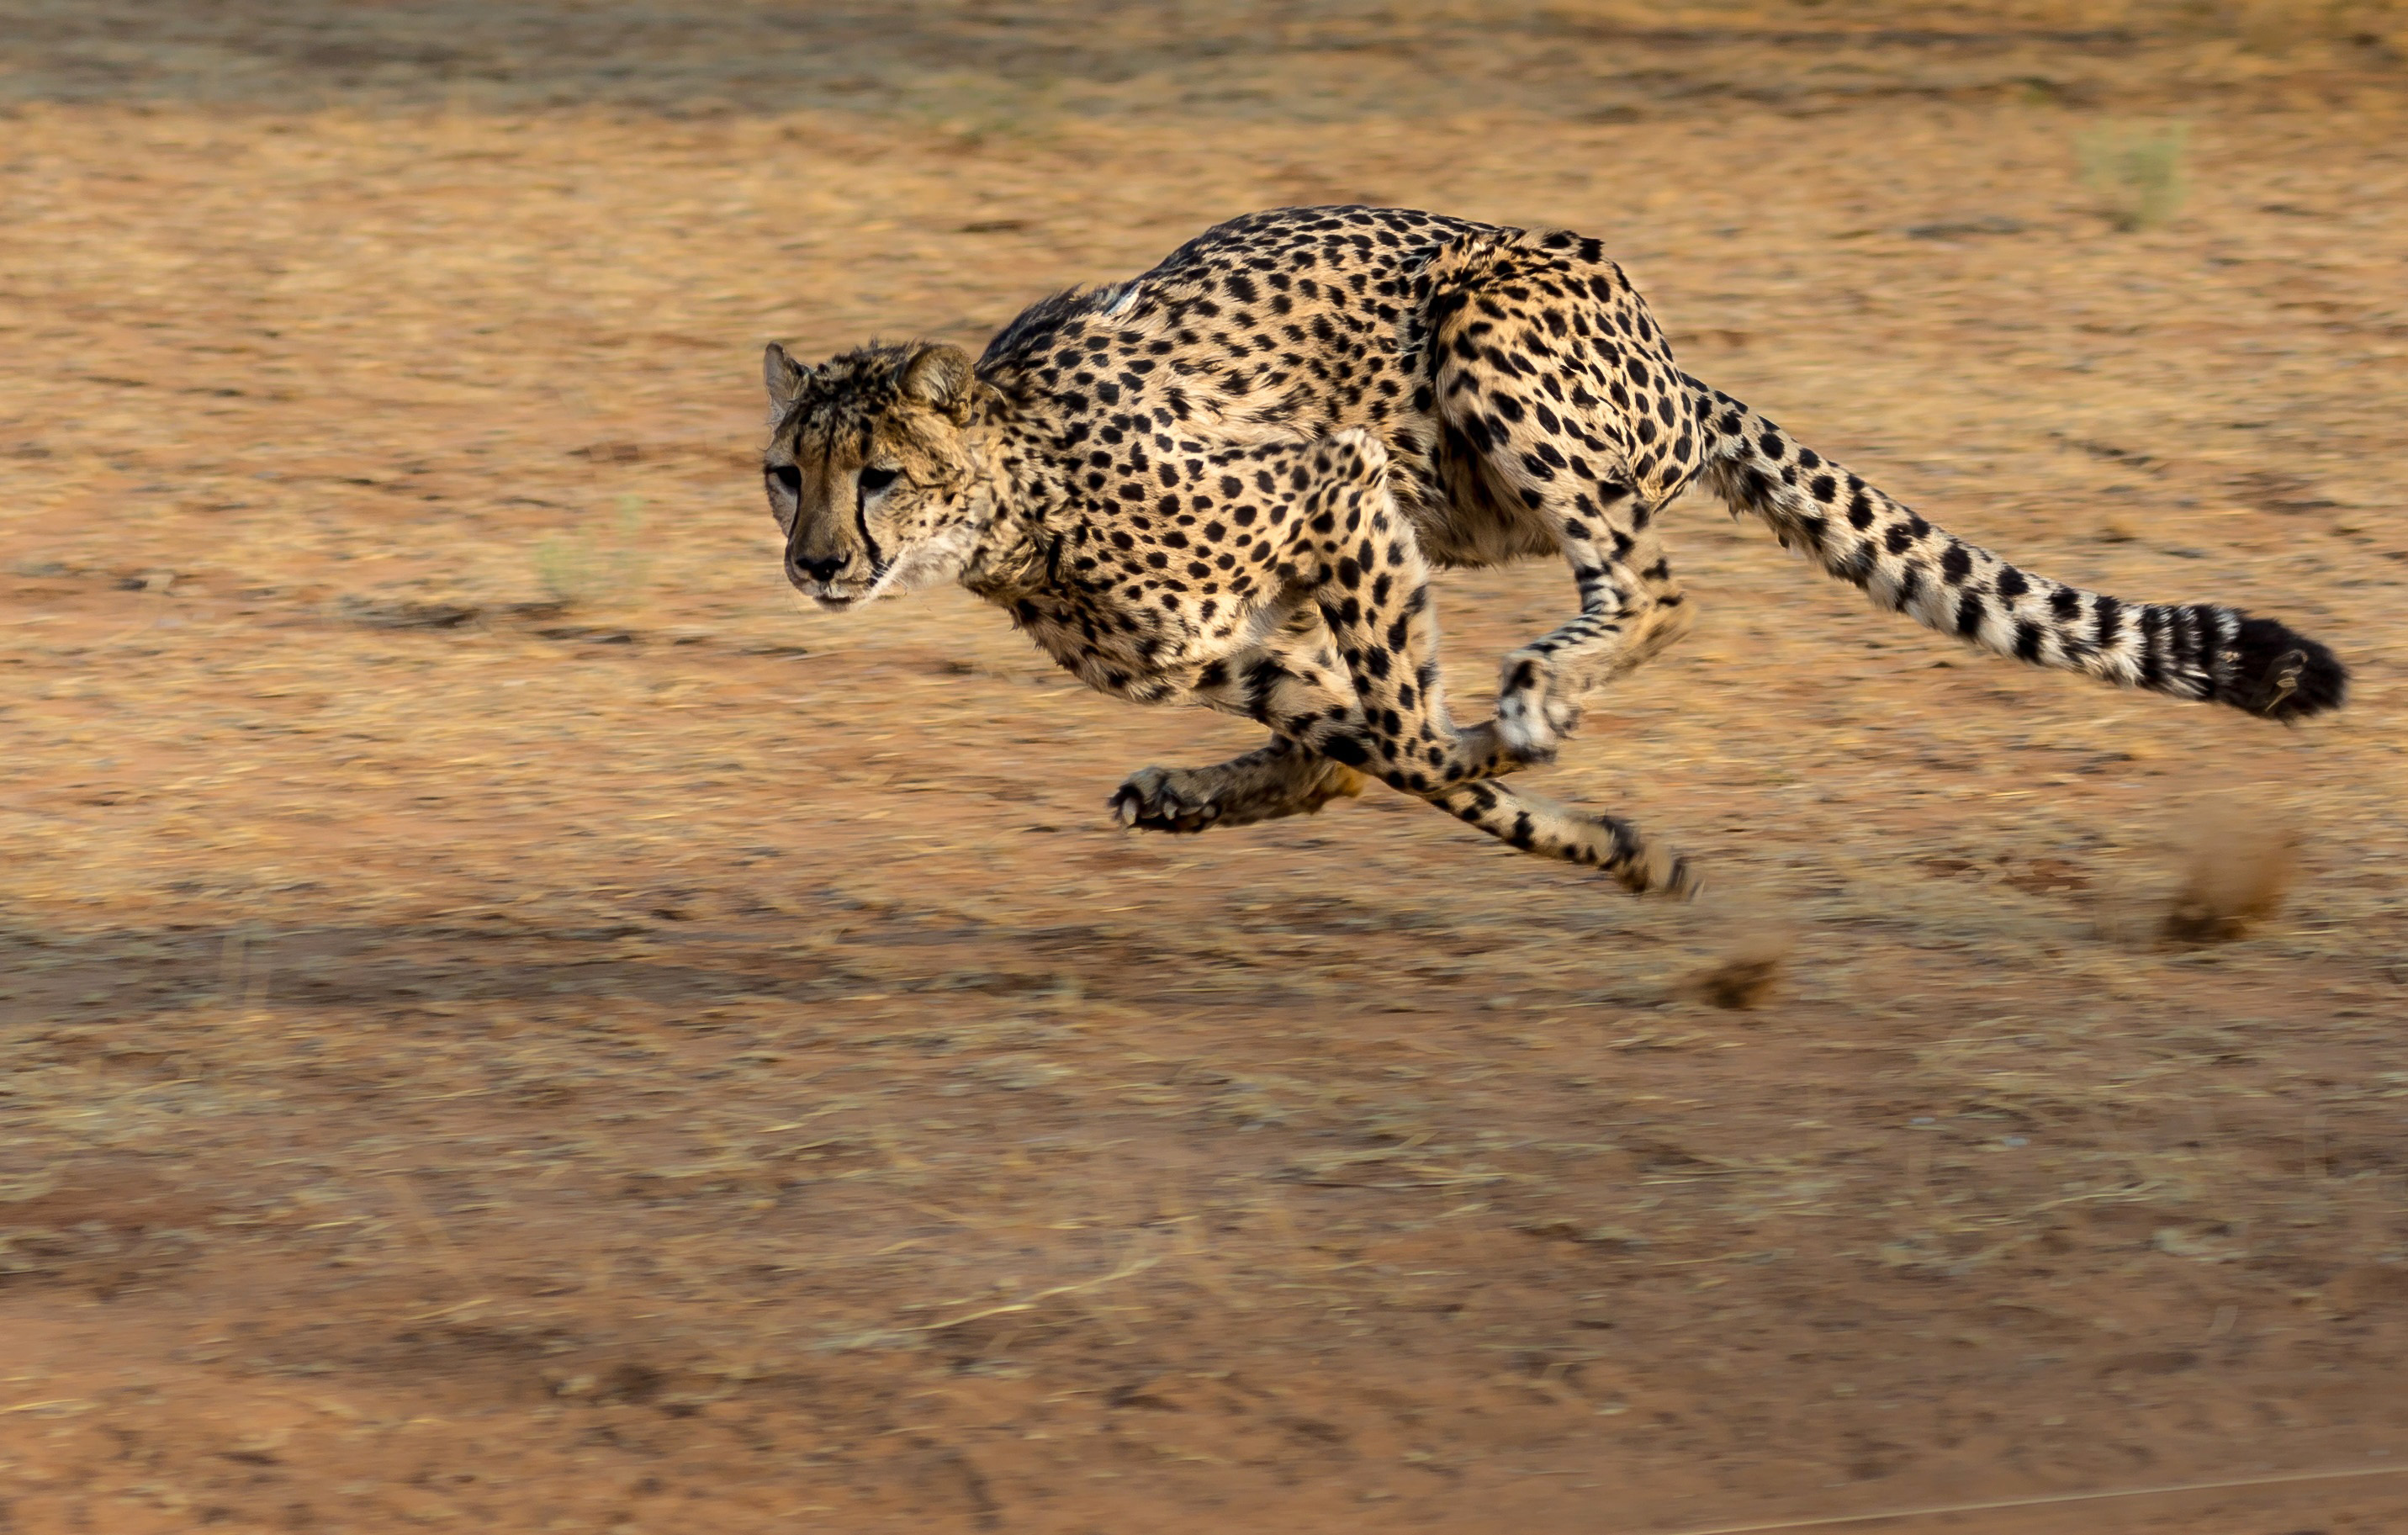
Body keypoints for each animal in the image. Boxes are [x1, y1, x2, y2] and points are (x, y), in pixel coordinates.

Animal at [760, 205, 2346, 899]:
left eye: (879, 476)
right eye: (787, 475)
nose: (816, 565)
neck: (1014, 502)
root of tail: (1670, 358)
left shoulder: (1333, 484)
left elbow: (1408, 742)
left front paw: (1570, 806)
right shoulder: (1233, 644)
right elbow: (1370, 750)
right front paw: (1601, 839)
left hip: (1486, 345)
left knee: (1650, 586)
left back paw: (1536, 694)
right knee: (1367, 737)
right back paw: (1221, 790)